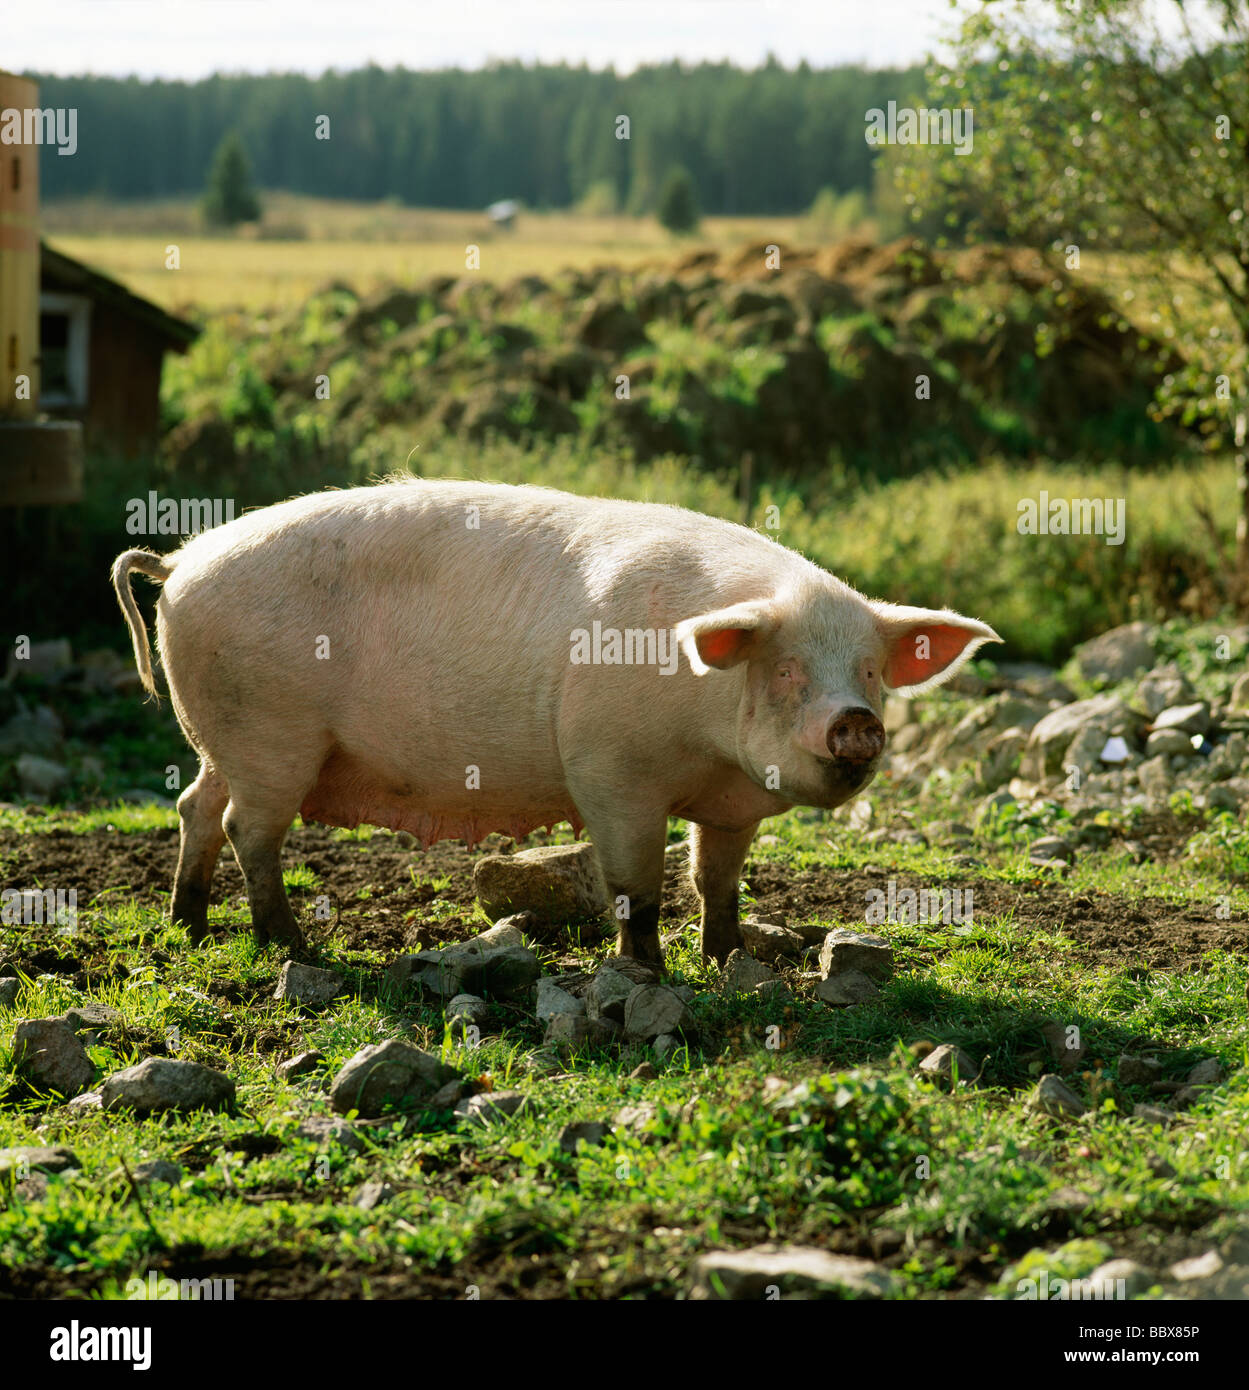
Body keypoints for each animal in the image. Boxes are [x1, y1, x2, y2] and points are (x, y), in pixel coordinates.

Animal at [112, 479, 999, 965]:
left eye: (871, 671)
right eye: (785, 670)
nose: (855, 723)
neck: (708, 747)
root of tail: (180, 563)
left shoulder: (729, 806)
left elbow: (715, 882)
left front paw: (729, 959)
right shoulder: (609, 771)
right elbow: (636, 885)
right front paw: (646, 973)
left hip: (223, 738)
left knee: (193, 807)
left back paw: (189, 927)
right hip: (272, 734)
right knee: (246, 828)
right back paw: (290, 946)